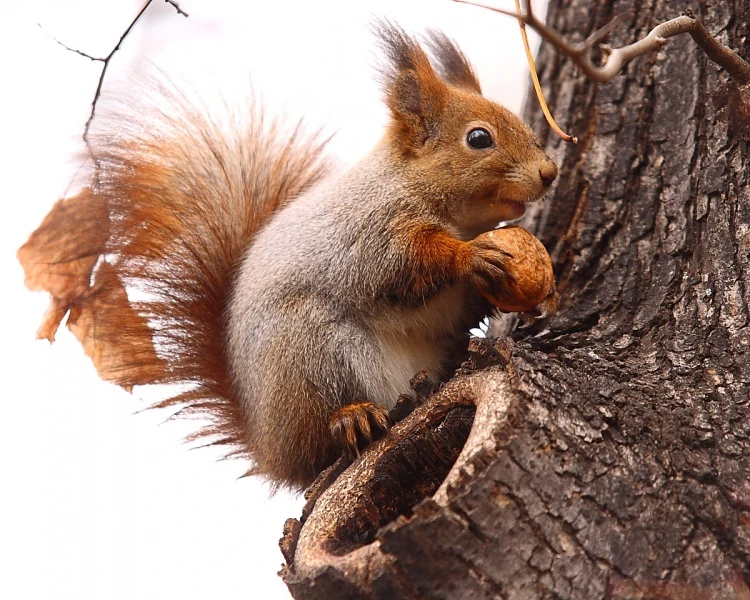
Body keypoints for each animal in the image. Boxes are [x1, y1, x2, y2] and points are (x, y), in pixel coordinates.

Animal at [20, 22, 557, 491]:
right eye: (479, 138)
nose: (549, 171)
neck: (414, 187)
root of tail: (270, 446)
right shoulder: (367, 232)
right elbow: (402, 265)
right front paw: (471, 257)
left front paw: (535, 295)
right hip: (310, 346)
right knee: (321, 439)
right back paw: (350, 418)